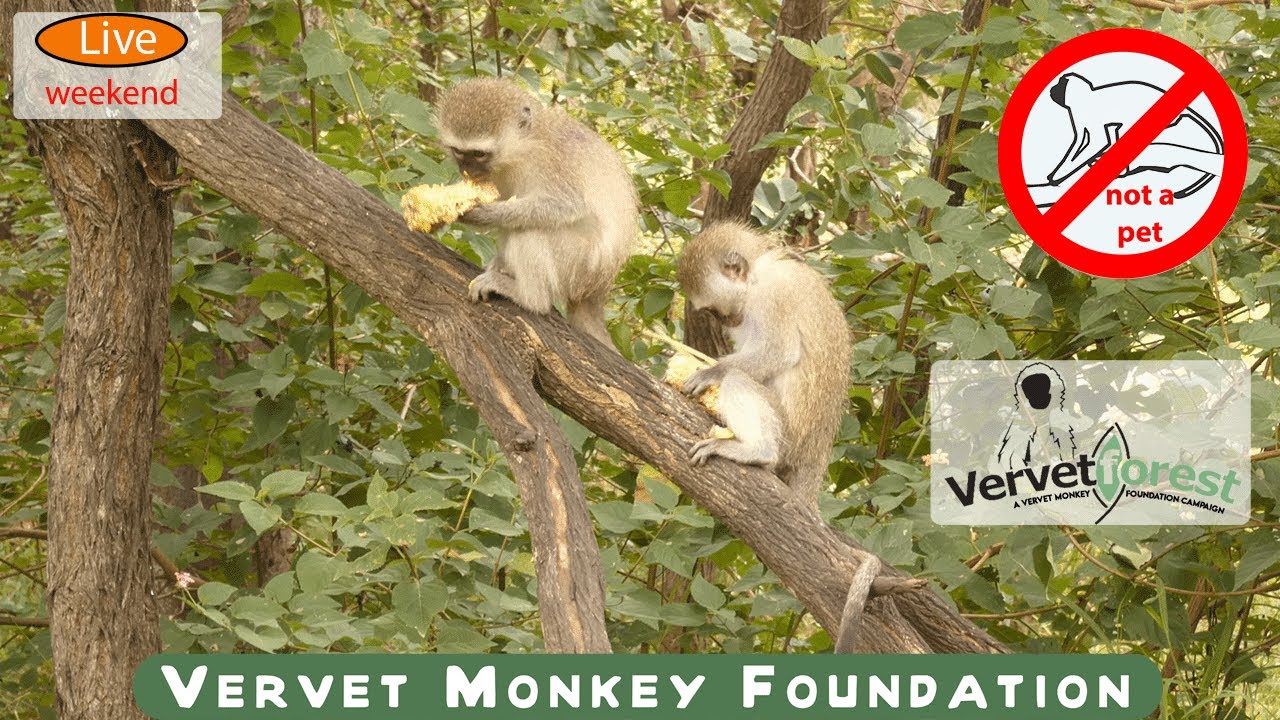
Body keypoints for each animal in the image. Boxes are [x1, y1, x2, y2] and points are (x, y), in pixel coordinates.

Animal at [435, 78, 637, 346]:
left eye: (479, 153)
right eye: (459, 151)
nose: (467, 170)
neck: (523, 150)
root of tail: (596, 289)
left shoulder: (553, 161)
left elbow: (568, 205)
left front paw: (482, 213)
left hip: (578, 265)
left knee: (529, 228)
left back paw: (529, 297)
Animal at [676, 222, 852, 508]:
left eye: (714, 310)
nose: (727, 322)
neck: (757, 273)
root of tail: (816, 451)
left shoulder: (771, 296)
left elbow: (778, 352)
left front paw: (710, 372)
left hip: (788, 438)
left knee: (737, 379)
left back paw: (758, 452)